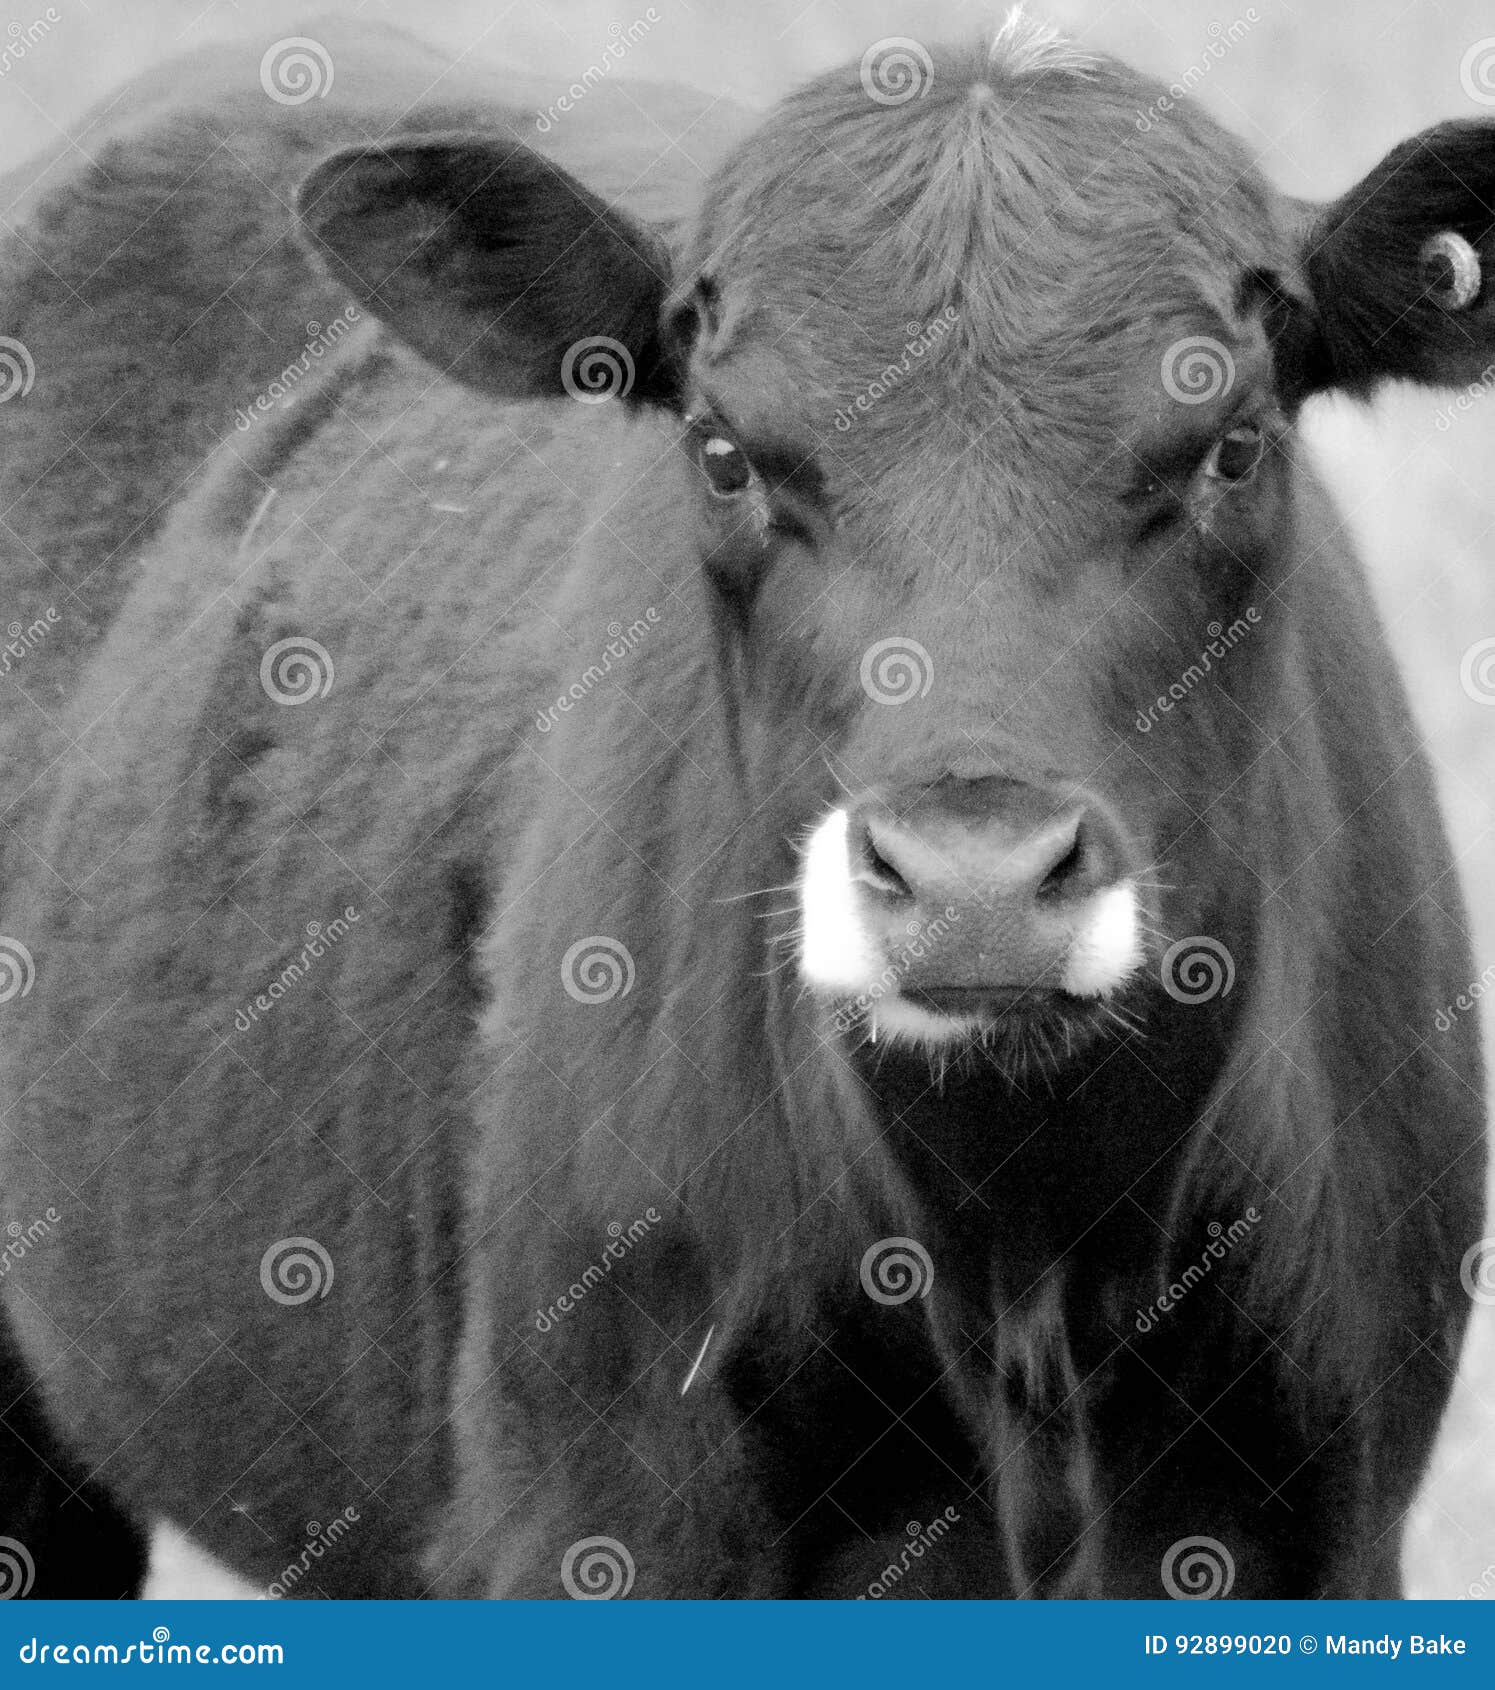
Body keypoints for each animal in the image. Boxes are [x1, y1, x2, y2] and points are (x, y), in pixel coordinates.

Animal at [0, 16, 1488, 1599]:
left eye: (1232, 440)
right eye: (723, 450)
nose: (972, 882)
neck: (1022, 1264)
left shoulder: (1323, 1520)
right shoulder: (597, 1509)